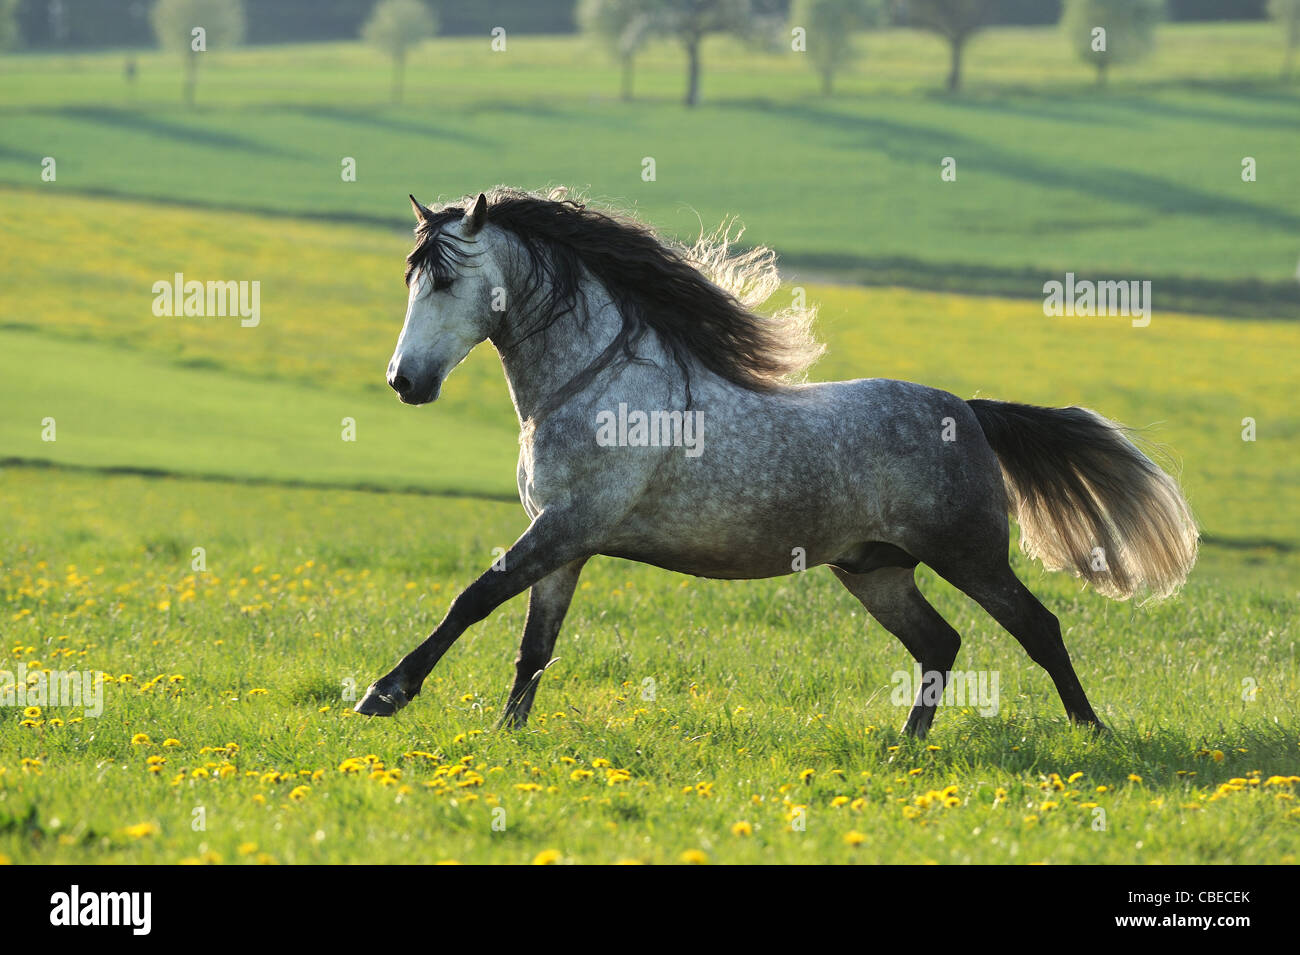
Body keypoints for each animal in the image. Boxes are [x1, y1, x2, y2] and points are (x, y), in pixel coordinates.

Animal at [354, 186, 1198, 738]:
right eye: (411, 277)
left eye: (447, 278)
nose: (405, 381)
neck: (594, 382)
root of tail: (967, 410)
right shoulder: (565, 543)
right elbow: (534, 644)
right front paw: (508, 732)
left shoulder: (568, 526)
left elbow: (472, 598)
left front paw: (385, 692)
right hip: (874, 569)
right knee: (940, 643)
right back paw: (907, 745)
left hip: (969, 554)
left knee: (1037, 627)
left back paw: (1092, 731)